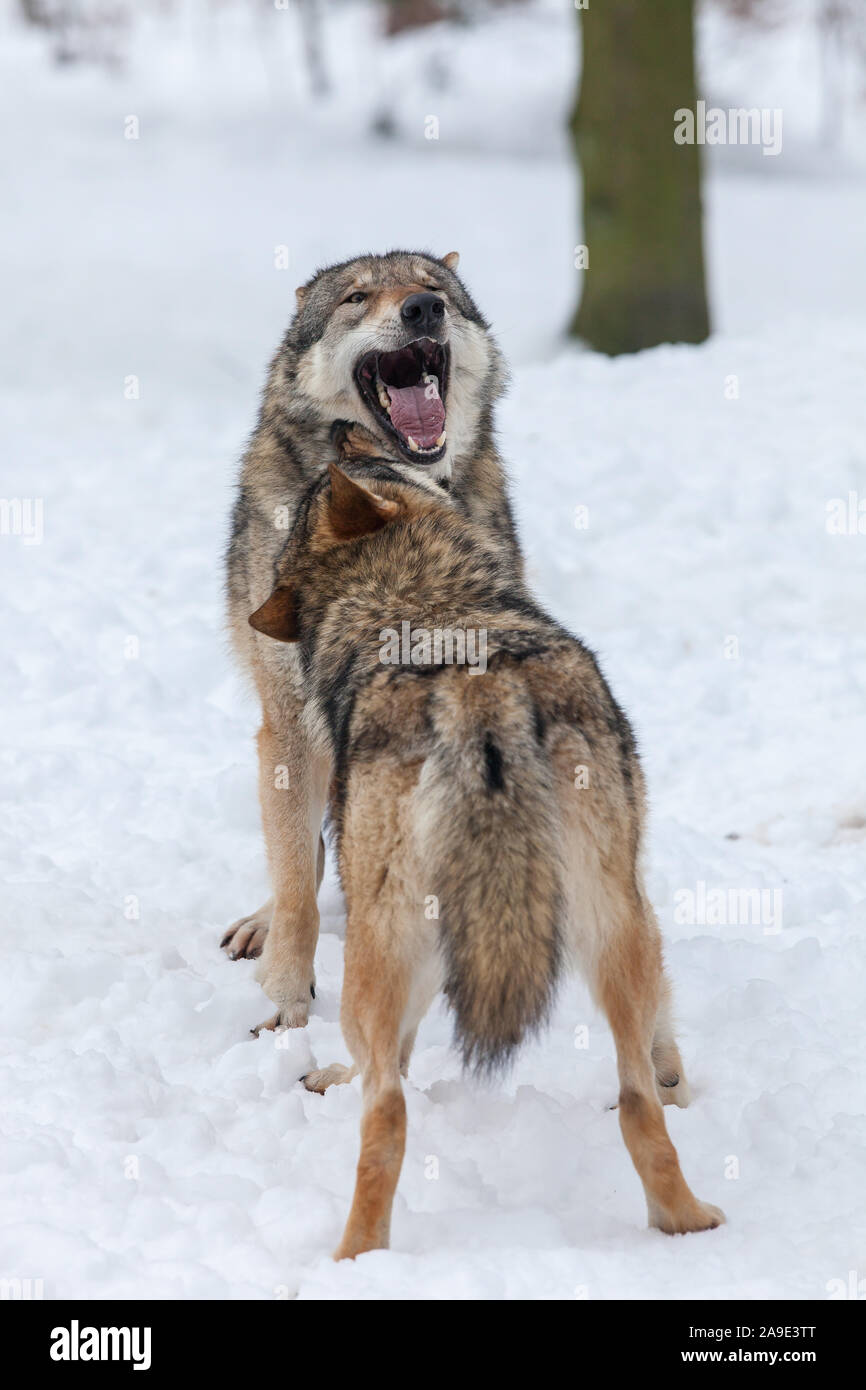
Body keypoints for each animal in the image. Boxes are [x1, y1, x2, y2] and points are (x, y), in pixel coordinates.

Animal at [223, 251, 522, 1031]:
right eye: (357, 298)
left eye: (435, 289)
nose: (422, 309)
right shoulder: (291, 721)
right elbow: (296, 881)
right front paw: (287, 1007)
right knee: (298, 858)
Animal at [248, 430, 725, 1259]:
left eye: (357, 469)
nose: (345, 434)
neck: (417, 599)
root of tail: (479, 693)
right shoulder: (632, 893)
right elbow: (665, 1031)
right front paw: (679, 1086)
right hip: (605, 927)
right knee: (635, 1103)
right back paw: (685, 1220)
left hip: (384, 946)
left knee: (387, 1109)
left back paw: (355, 1256)